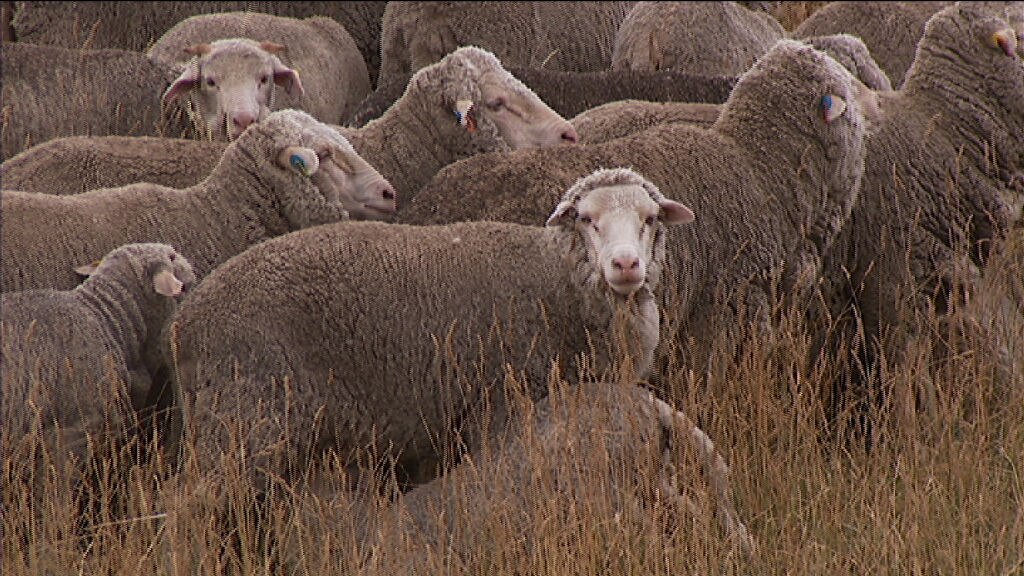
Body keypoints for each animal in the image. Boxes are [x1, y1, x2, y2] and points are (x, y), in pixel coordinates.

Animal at [169, 167, 695, 497]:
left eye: (650, 219)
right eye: (587, 219)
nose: (625, 265)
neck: (557, 278)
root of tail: (185, 322)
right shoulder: (498, 404)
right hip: (243, 416)